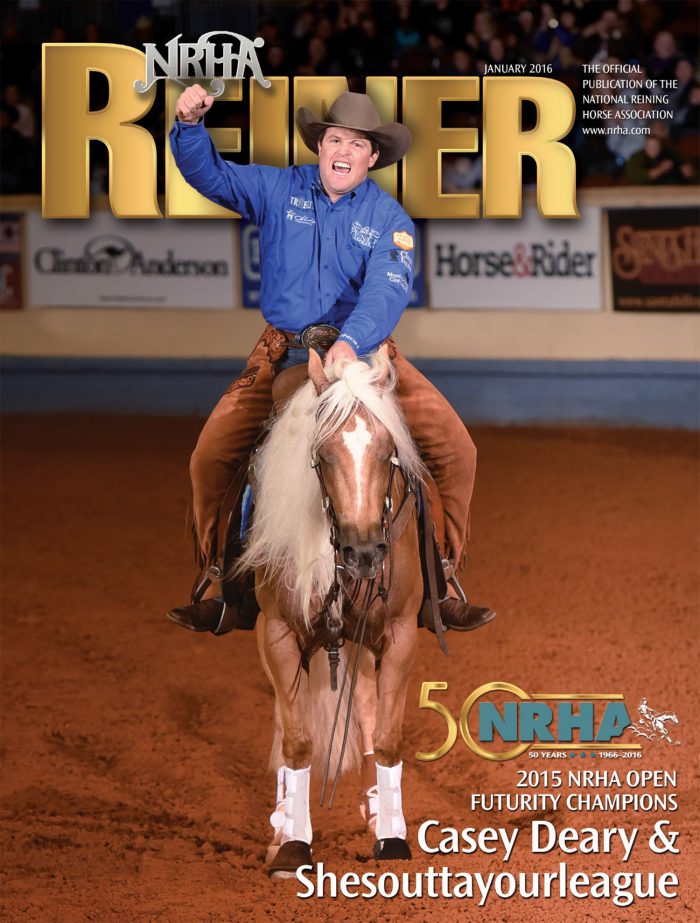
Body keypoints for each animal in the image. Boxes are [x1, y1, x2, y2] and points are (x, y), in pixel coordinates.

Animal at [236, 345, 426, 878]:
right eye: (322, 456)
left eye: (387, 451)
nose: (364, 552)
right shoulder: (278, 634)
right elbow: (297, 742)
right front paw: (294, 845)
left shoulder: (399, 634)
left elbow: (385, 735)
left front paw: (391, 836)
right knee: (285, 725)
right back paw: (281, 829)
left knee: (364, 708)